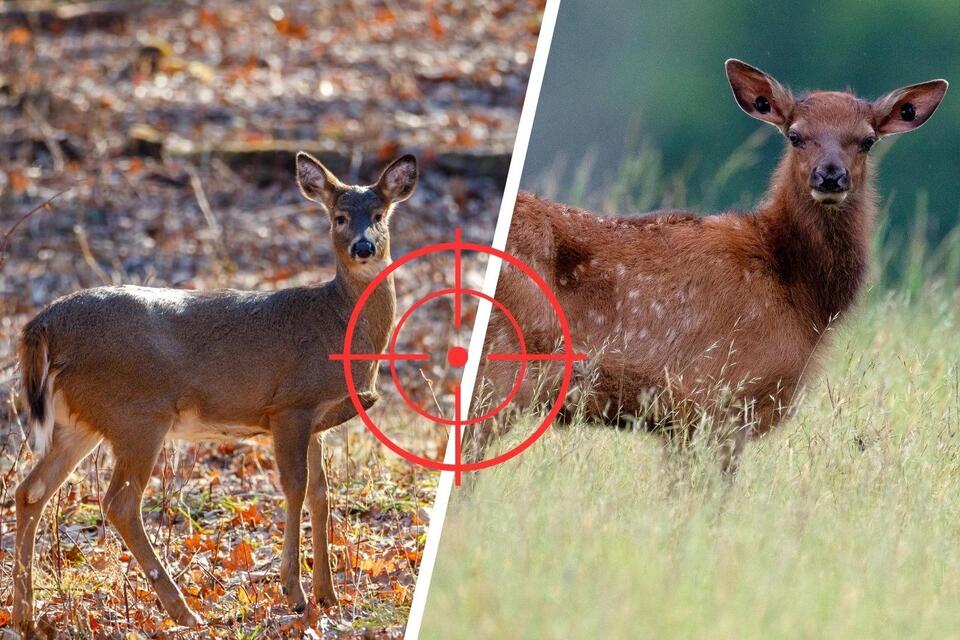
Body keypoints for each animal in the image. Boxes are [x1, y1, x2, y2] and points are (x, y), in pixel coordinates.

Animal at [11, 152, 418, 633]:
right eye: (338, 217)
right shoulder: (290, 405)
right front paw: (295, 593)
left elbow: (321, 494)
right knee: (120, 502)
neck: (337, 326)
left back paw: (25, 615)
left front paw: (327, 594)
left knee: (30, 491)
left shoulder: (317, 420)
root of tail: (44, 324)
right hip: (137, 414)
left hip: (79, 422)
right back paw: (183, 610)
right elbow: (295, 488)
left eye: (379, 215)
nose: (363, 247)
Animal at [476, 60, 947, 470]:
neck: (798, 294)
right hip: (502, 365)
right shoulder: (713, 396)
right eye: (796, 135)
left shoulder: (687, 417)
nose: (830, 176)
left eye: (867, 139)